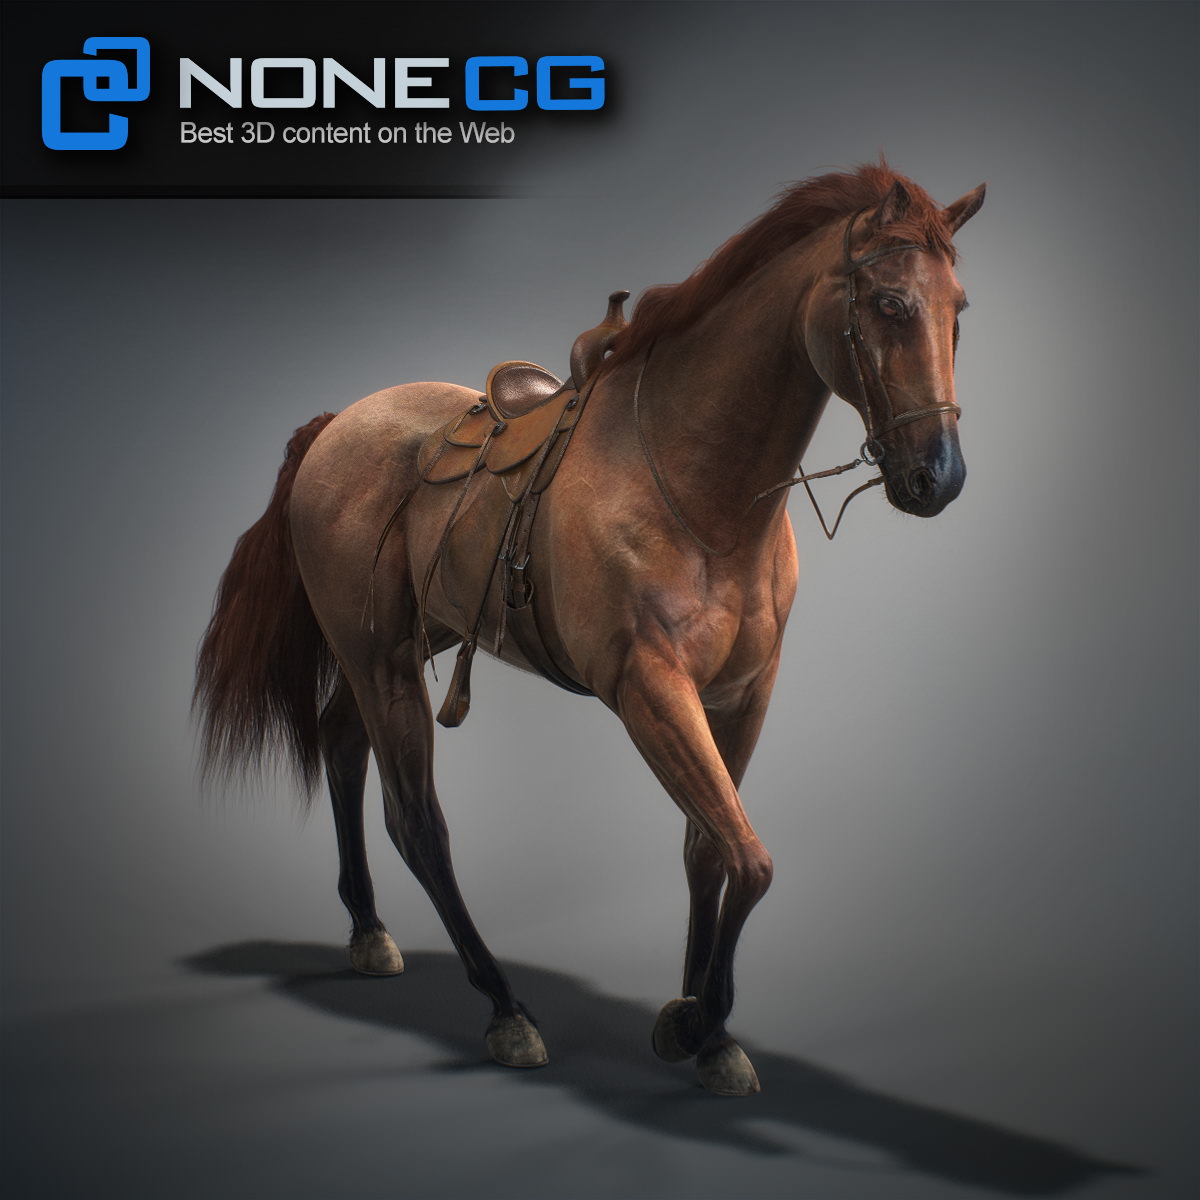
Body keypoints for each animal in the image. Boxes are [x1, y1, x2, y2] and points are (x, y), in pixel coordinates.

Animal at [194, 162, 985, 1096]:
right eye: (892, 304)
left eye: (959, 308)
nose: (939, 476)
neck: (696, 485)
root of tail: (335, 428)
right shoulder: (648, 690)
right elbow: (751, 861)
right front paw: (698, 1022)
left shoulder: (741, 697)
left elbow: (711, 851)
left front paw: (707, 1033)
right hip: (378, 659)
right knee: (417, 820)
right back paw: (505, 1008)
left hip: (406, 644)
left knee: (340, 743)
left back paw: (367, 930)